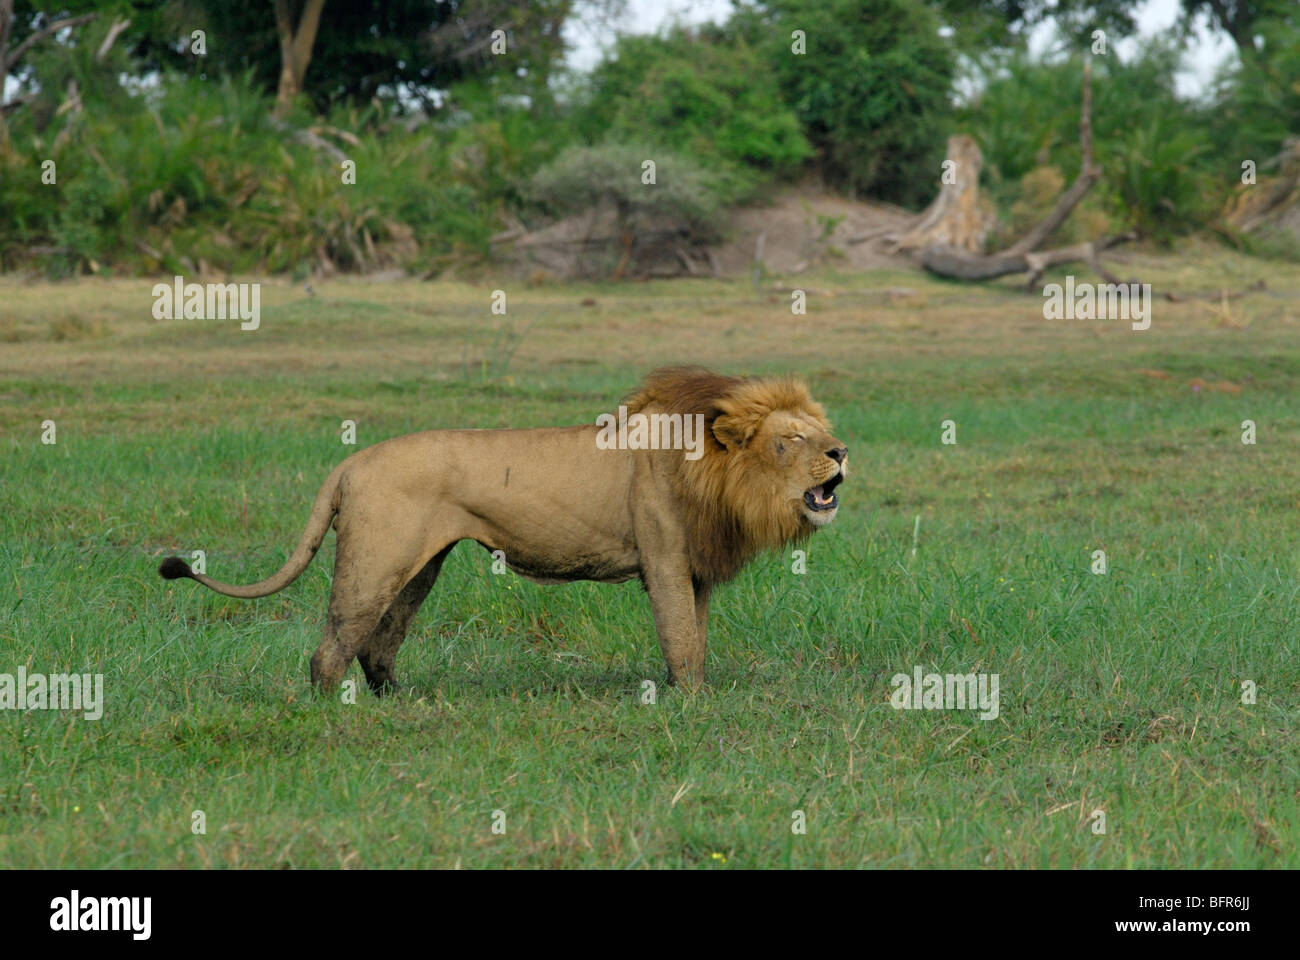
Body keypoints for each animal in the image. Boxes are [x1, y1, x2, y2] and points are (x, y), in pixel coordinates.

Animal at [158, 366, 847, 694]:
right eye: (792, 440)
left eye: (821, 431)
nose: (842, 452)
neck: (712, 472)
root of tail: (349, 464)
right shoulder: (665, 562)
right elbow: (679, 639)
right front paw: (693, 705)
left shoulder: (697, 569)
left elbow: (697, 639)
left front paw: (698, 693)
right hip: (375, 560)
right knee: (333, 646)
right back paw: (333, 712)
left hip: (418, 566)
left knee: (380, 642)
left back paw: (403, 699)